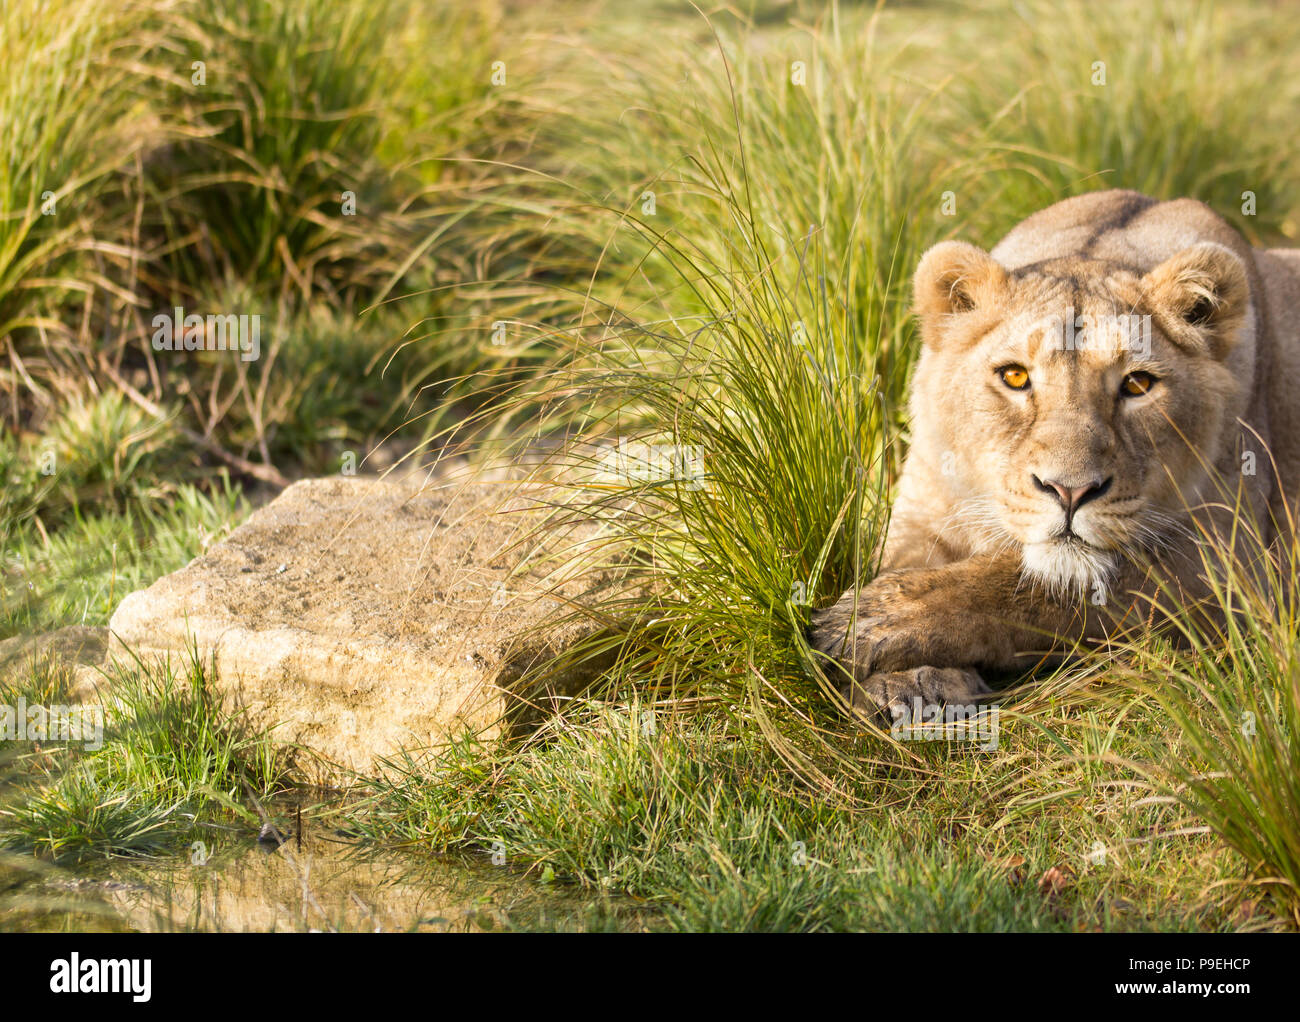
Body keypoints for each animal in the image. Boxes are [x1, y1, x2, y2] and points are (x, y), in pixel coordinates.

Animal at [809, 189, 1300, 718]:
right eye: (1015, 376)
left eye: (1137, 384)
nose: (1070, 491)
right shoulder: (924, 503)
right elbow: (906, 562)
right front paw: (911, 679)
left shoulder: (1232, 570)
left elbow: (1021, 586)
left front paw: (869, 622)